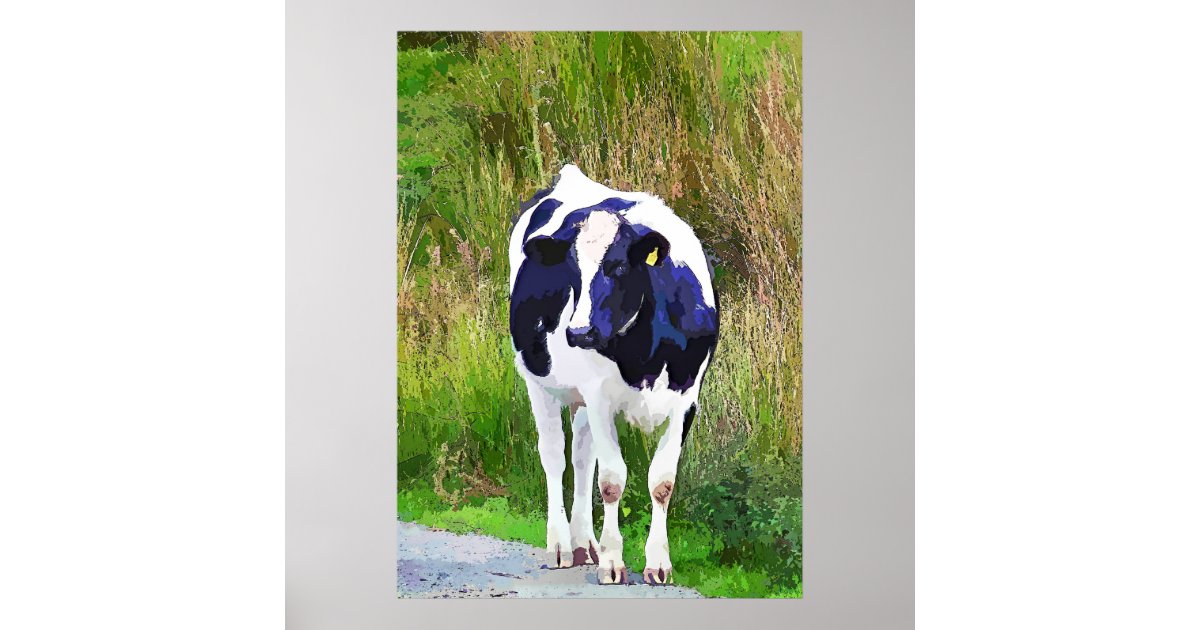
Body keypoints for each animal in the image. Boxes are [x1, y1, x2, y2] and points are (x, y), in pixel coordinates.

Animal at [508, 164, 719, 585]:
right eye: (571, 271)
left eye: (619, 266)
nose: (578, 332)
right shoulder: (600, 396)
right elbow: (611, 481)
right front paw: (612, 562)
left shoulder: (687, 399)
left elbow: (662, 482)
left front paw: (658, 564)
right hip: (537, 381)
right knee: (554, 456)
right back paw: (561, 545)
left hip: (581, 399)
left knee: (581, 458)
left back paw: (584, 544)